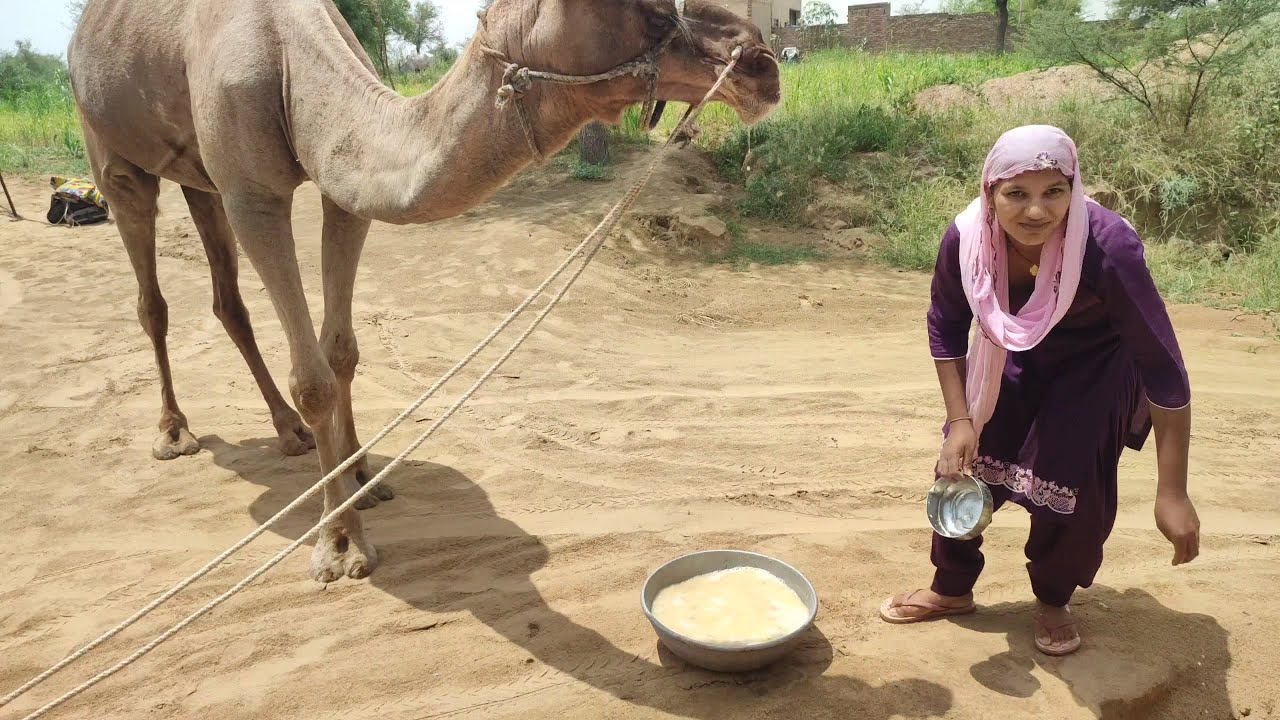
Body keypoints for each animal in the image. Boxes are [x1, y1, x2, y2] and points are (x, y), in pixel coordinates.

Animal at [66, 0, 780, 582]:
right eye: (651, 11)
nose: (762, 62)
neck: (287, 55)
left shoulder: (343, 188)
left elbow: (342, 351)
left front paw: (359, 475)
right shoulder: (253, 194)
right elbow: (313, 377)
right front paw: (341, 546)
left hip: (198, 176)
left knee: (226, 298)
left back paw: (289, 435)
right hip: (112, 151)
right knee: (151, 296)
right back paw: (174, 433)